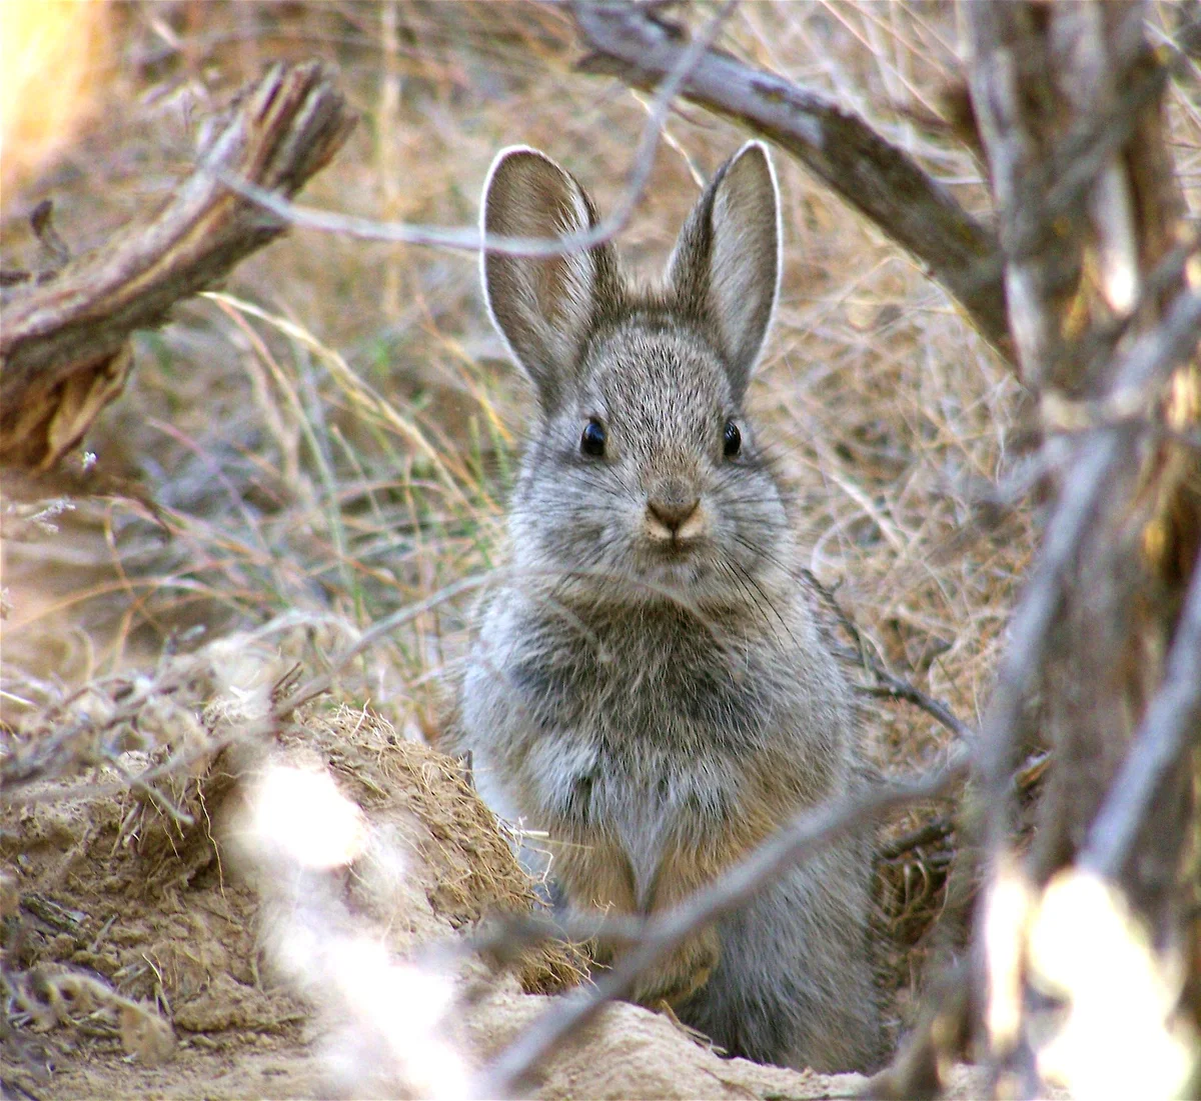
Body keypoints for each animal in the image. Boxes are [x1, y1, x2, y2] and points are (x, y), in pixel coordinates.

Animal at [446, 141, 888, 1070]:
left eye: (729, 436)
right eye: (593, 437)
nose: (675, 508)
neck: (651, 609)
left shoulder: (751, 779)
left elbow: (710, 863)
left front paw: (671, 964)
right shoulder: (545, 779)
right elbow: (588, 865)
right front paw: (621, 958)